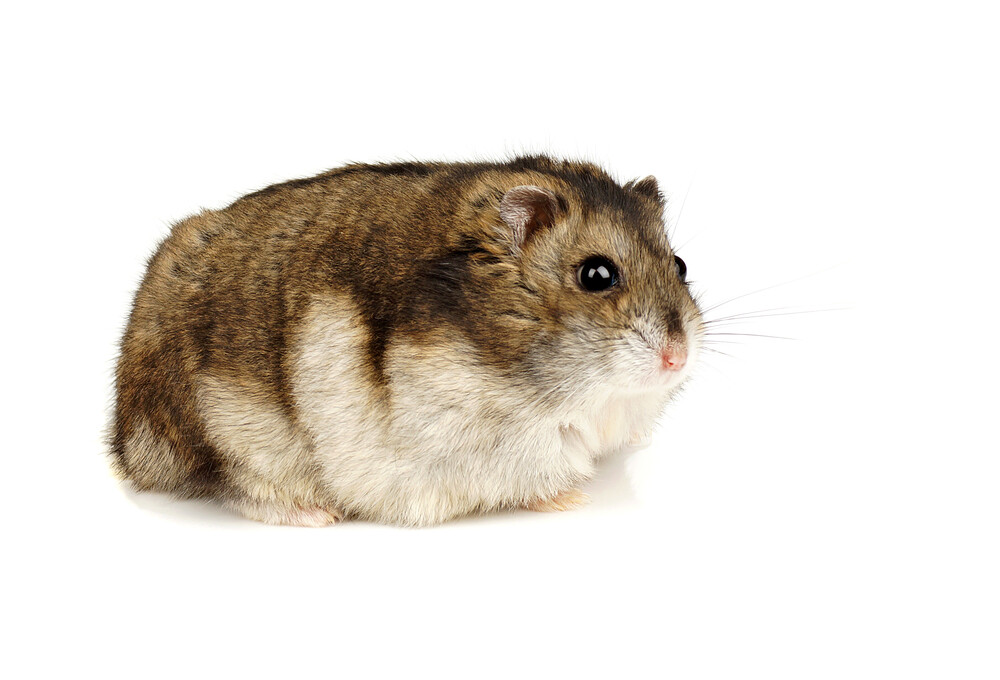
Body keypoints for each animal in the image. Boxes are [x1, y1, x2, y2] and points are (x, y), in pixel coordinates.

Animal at [110, 156, 702, 527]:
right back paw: (317, 516)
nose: (677, 359)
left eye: (679, 264)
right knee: (233, 486)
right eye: (597, 275)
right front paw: (573, 500)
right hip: (223, 431)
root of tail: (124, 435)